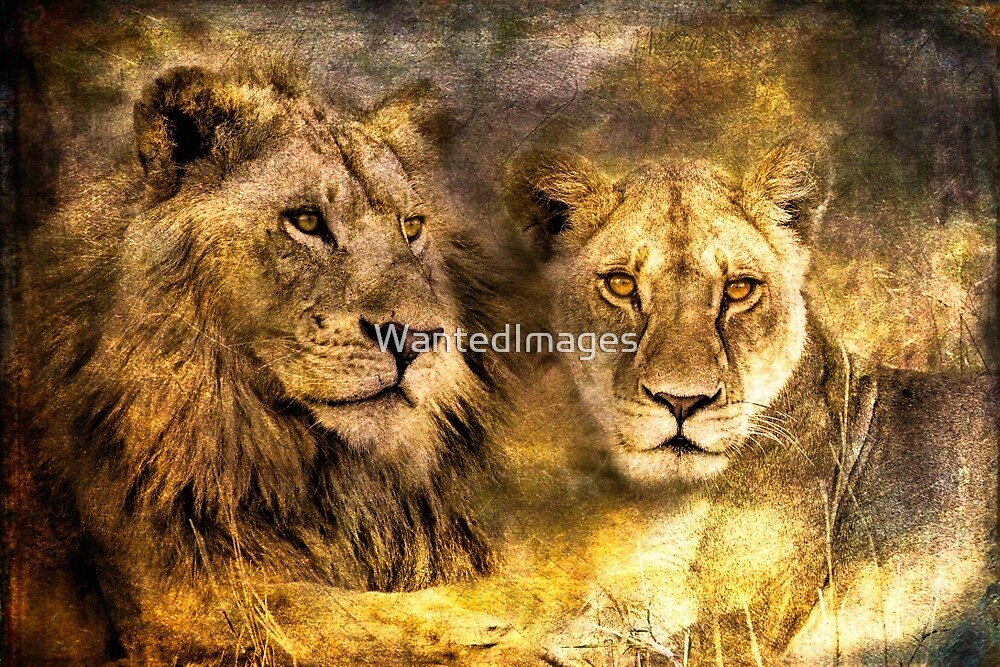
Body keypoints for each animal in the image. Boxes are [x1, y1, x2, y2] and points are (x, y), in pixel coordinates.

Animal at [6, 60, 530, 664]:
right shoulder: (174, 612)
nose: (417, 339)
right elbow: (344, 614)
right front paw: (498, 626)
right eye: (305, 221)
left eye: (412, 227)